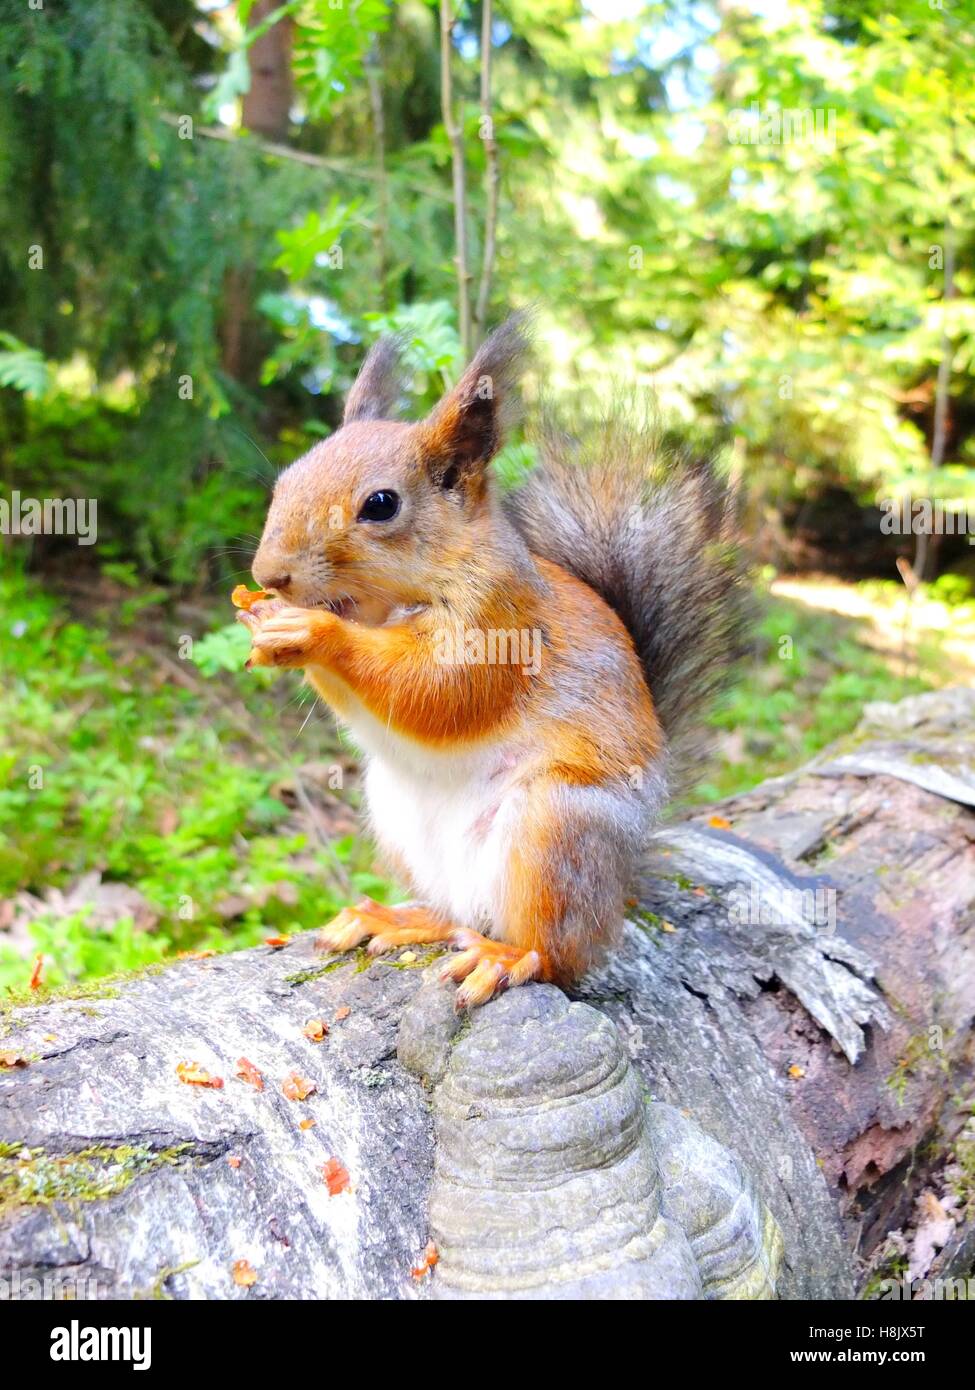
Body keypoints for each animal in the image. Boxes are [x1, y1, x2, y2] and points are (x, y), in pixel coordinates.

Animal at [236, 314, 742, 1007]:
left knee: (556, 954)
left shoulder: (500, 621)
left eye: (381, 505)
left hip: (557, 831)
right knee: (455, 913)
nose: (270, 575)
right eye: (286, 478)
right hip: (400, 822)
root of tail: (621, 884)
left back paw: (506, 956)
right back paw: (400, 919)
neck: (385, 606)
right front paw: (265, 621)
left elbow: (438, 689)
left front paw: (315, 631)